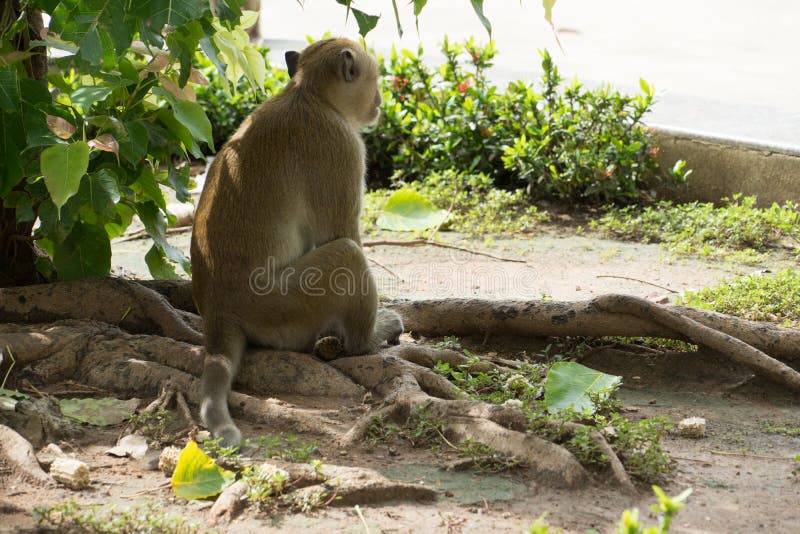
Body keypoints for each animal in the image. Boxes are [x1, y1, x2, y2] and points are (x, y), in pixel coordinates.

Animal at [190, 38, 404, 447]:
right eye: (374, 82)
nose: (380, 100)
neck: (309, 95)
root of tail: (218, 308)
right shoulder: (342, 147)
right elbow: (341, 234)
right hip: (283, 305)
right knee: (347, 255)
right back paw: (366, 341)